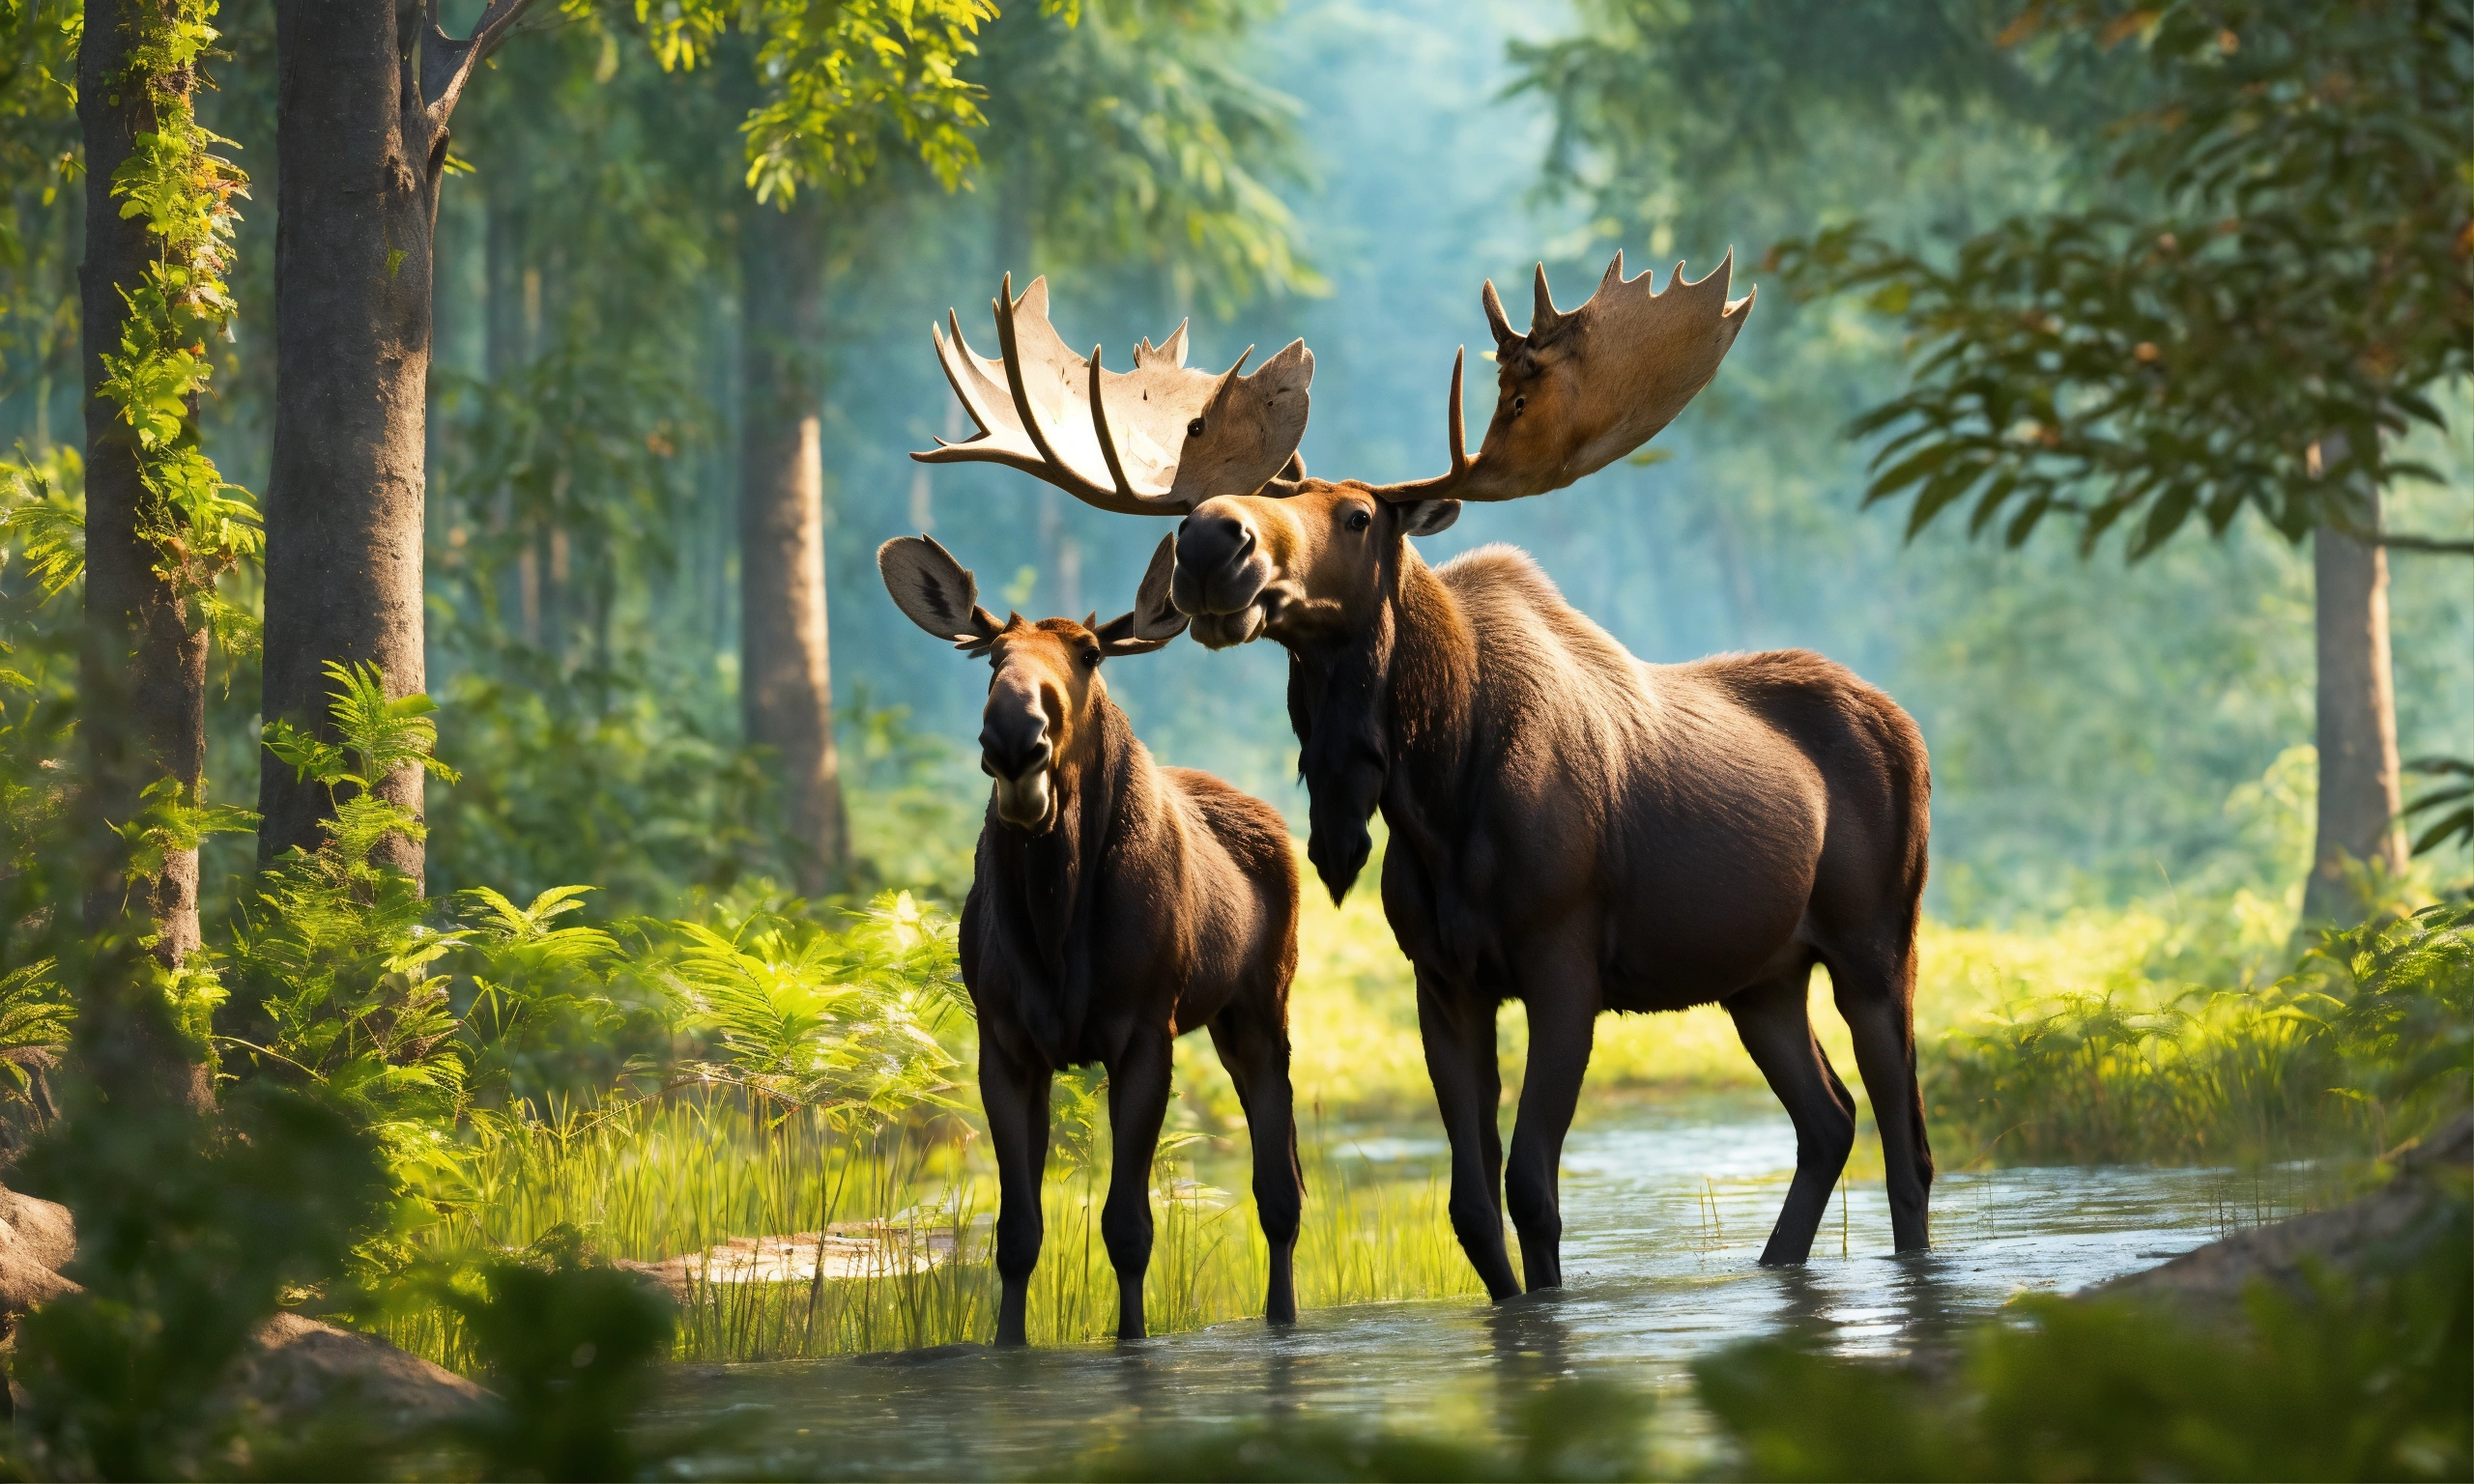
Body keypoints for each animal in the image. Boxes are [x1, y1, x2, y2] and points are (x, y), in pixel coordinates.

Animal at [876, 533, 1303, 1344]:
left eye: (1091, 654)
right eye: (991, 656)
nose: (1015, 738)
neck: (1054, 916)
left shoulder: (1144, 1033)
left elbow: (1129, 1228)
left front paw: (1132, 1338)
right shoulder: (1006, 1044)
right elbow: (1017, 1233)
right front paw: (1009, 1343)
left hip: (1261, 1009)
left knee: (1282, 1192)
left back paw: (1284, 1318)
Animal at [909, 261, 1934, 1300]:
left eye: (1360, 515)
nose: (1206, 540)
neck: (1438, 791)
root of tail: (1904, 724)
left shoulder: (1564, 963)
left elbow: (1532, 1189)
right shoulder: (1442, 978)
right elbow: (1473, 1208)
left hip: (1876, 940)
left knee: (1906, 1144)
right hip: (1762, 977)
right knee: (1829, 1117)